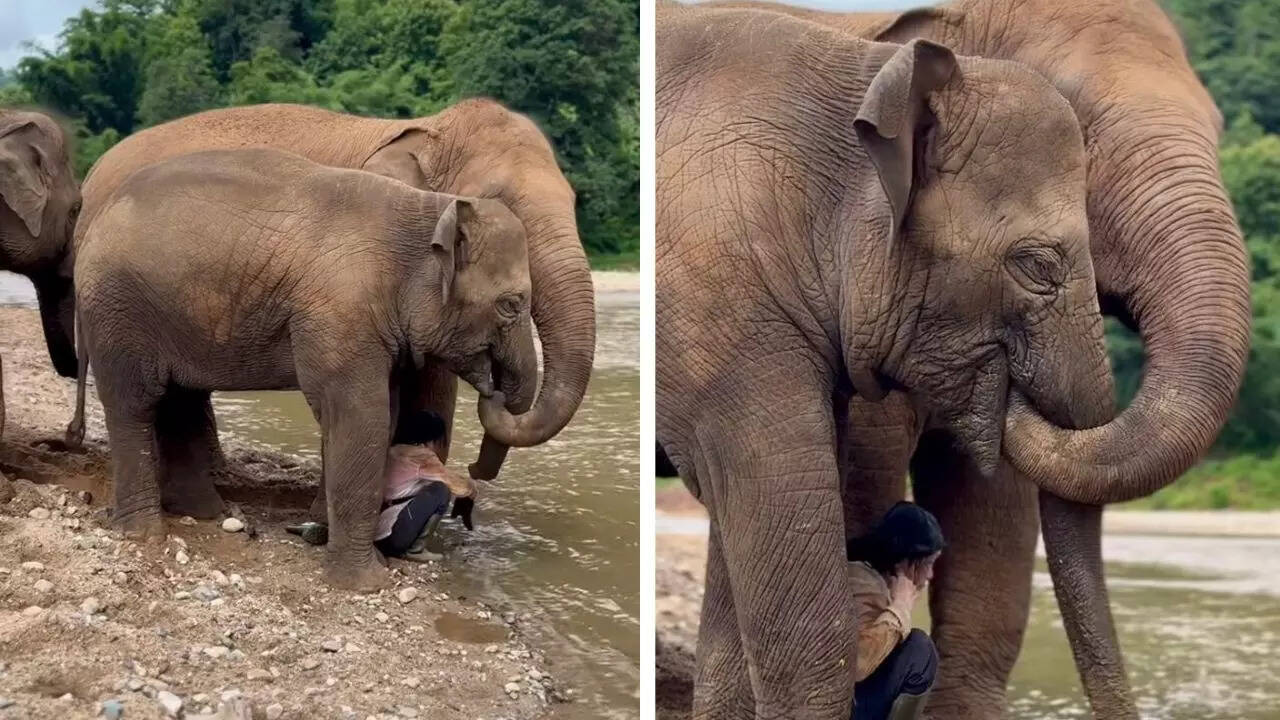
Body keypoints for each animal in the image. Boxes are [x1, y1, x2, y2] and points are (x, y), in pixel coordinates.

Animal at [72, 148, 536, 590]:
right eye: (511, 305)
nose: (492, 388)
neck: (427, 209)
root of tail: (93, 220)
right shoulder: (340, 312)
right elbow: (360, 416)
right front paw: (366, 585)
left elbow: (377, 414)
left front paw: (327, 532)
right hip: (118, 309)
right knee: (135, 404)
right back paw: (145, 533)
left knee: (178, 398)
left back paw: (204, 514)